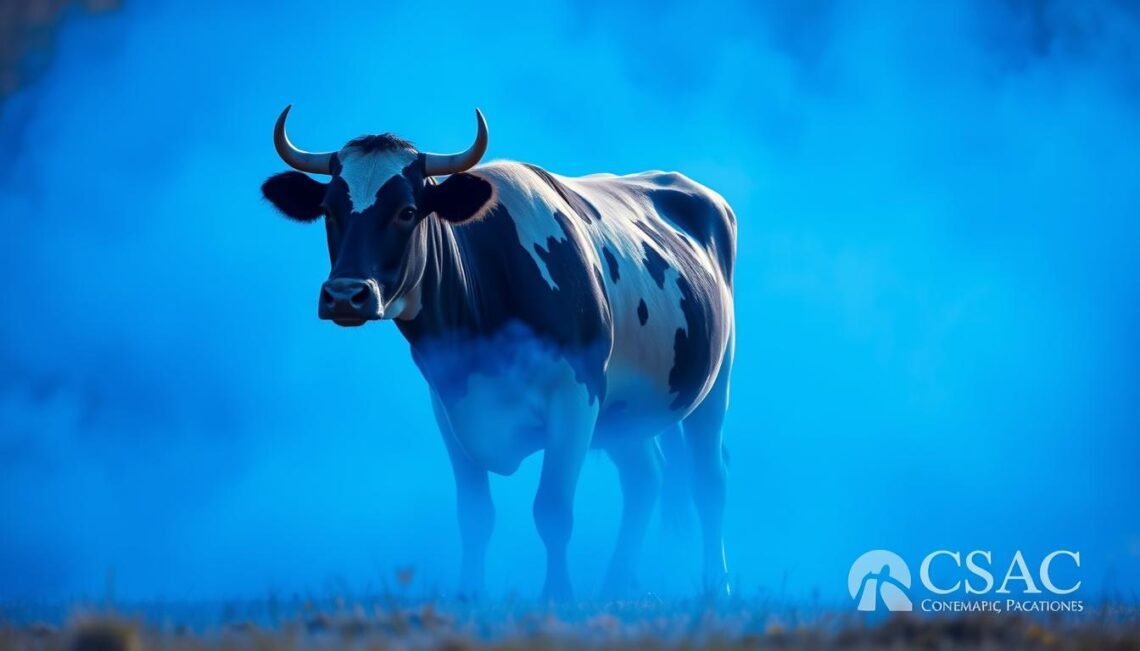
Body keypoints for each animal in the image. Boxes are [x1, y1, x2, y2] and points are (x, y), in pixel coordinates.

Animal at [261, 107, 736, 600]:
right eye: (328, 210)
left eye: (407, 212)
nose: (345, 295)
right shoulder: (448, 404)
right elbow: (475, 518)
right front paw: (470, 596)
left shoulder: (576, 395)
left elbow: (552, 511)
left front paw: (557, 599)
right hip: (627, 412)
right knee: (645, 479)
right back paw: (615, 589)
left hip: (715, 379)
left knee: (709, 481)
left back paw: (714, 588)